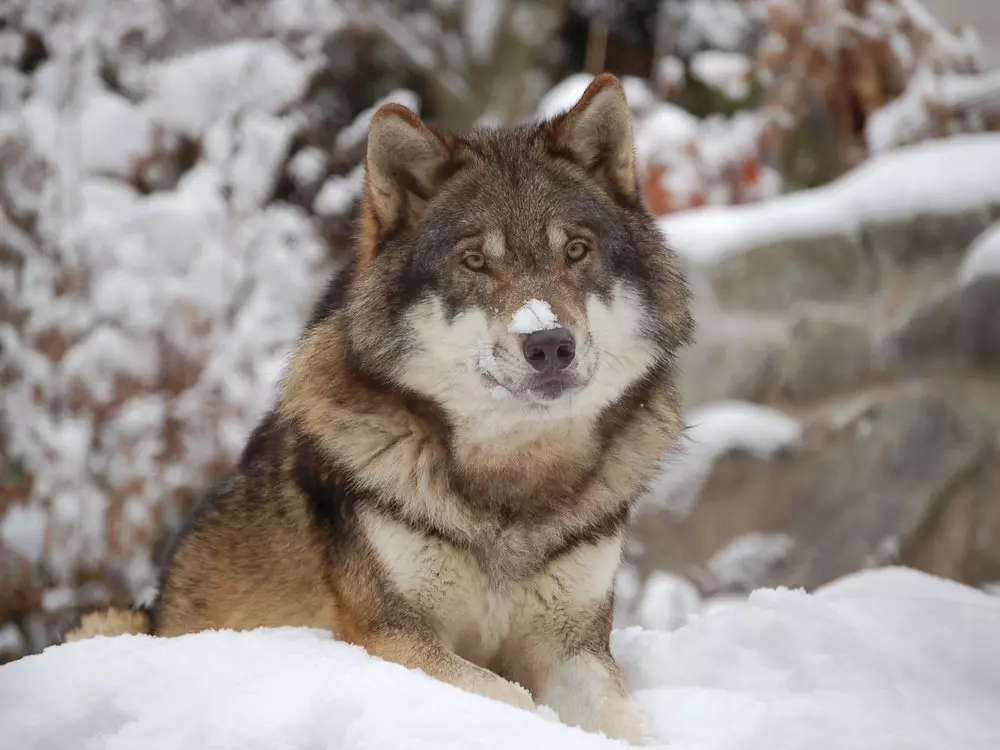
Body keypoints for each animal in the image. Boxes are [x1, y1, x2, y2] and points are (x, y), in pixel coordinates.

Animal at [66, 76, 692, 748]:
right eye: (475, 261)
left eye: (576, 250)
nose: (549, 343)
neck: (510, 490)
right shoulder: (389, 635)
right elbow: (511, 698)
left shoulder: (574, 647)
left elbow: (629, 725)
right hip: (109, 621)